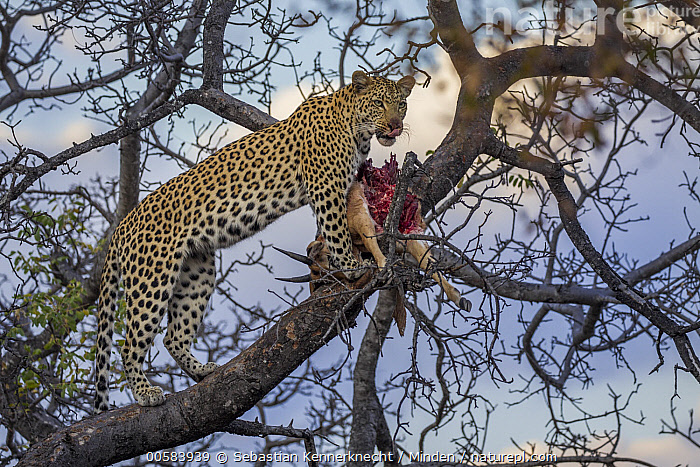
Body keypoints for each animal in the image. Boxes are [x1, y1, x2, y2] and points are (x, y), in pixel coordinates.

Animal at [93, 70, 415, 413]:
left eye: (401, 104)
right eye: (379, 103)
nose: (395, 125)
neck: (355, 128)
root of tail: (123, 224)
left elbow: (331, 230)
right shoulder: (324, 187)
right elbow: (335, 228)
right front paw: (350, 265)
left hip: (197, 273)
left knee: (173, 336)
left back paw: (203, 370)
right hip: (152, 279)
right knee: (129, 344)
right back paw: (145, 392)